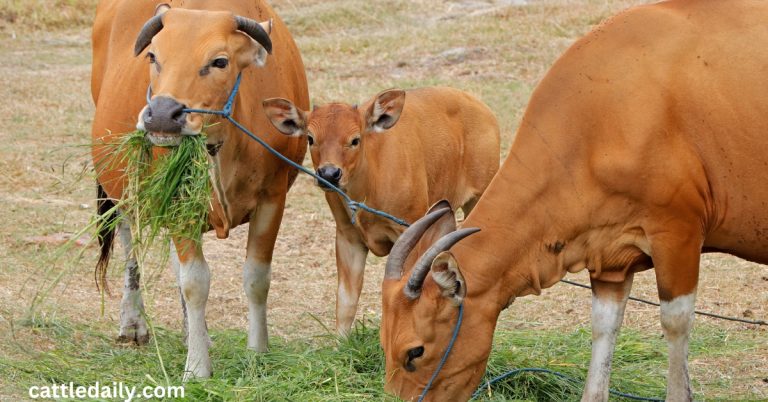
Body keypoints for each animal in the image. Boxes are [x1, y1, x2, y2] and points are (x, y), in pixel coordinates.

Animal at [90, 0, 308, 379]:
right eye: (153, 56)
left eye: (219, 61)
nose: (162, 115)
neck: (223, 147)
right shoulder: (180, 204)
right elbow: (195, 283)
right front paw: (196, 368)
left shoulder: (273, 198)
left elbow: (256, 278)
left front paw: (257, 352)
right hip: (121, 185)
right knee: (130, 238)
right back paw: (133, 322)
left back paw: (194, 333)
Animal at [262, 87, 500, 335]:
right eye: (310, 138)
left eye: (355, 139)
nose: (329, 174)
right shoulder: (348, 235)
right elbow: (346, 300)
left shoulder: (409, 228)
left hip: (481, 194)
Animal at [379, 0, 768, 401]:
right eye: (383, 346)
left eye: (414, 352)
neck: (601, 120)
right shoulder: (609, 256)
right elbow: (604, 327)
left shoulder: (678, 233)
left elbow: (675, 322)